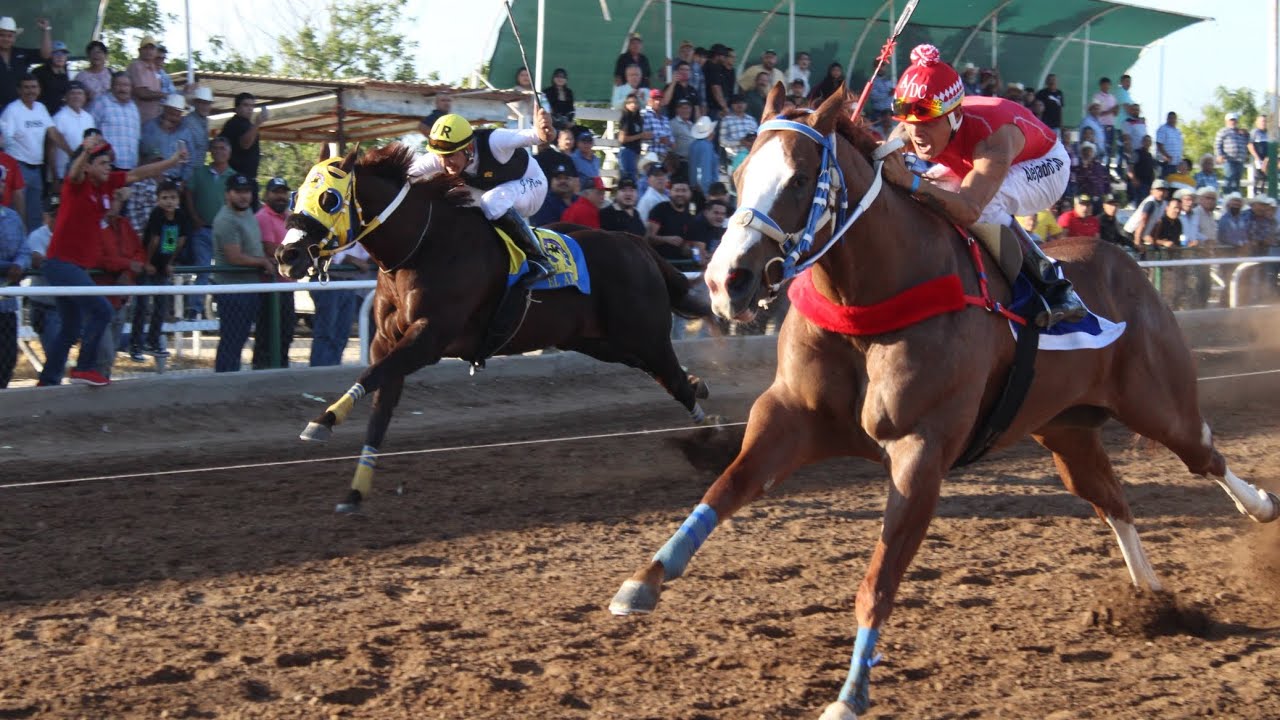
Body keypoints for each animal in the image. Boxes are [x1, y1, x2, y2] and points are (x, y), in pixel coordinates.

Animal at [277, 144, 718, 513]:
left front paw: (321, 422)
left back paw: (715, 439)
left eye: (329, 197)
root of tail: (637, 243)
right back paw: (702, 391)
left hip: (646, 335)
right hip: (602, 342)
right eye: (296, 196)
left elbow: (372, 376)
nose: (287, 255)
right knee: (668, 378)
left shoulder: (429, 337)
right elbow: (379, 409)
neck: (423, 246)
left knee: (674, 381)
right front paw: (354, 491)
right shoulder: (388, 342)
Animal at [608, 84, 1280, 719]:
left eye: (799, 179)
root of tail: (1128, 263)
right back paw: (1150, 600)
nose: (726, 282)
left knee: (1204, 452)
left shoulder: (920, 450)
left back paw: (1261, 509)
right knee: (1112, 499)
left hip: (1155, 400)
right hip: (1066, 431)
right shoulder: (789, 417)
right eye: (741, 173)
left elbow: (878, 580)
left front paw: (851, 692)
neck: (870, 301)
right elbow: (724, 488)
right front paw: (642, 583)